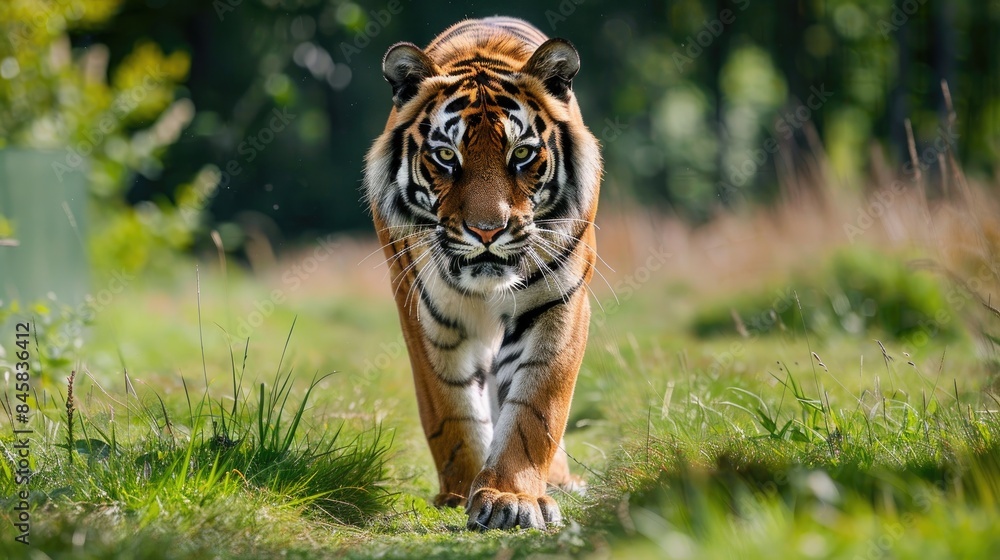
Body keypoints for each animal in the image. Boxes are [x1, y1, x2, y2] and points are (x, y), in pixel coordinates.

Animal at [363, 16, 602, 530]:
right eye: (446, 157)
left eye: (522, 155)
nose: (487, 230)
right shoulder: (425, 312)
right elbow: (451, 411)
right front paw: (460, 494)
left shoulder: (557, 303)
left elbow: (535, 409)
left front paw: (510, 497)